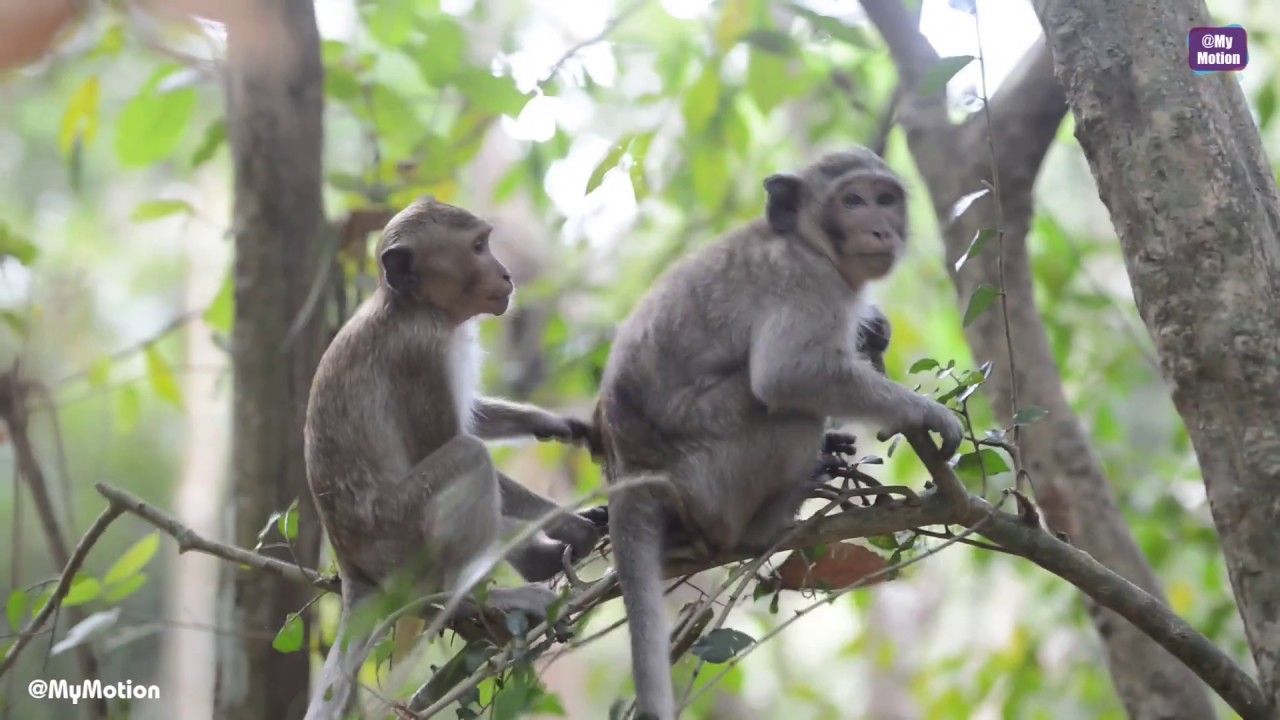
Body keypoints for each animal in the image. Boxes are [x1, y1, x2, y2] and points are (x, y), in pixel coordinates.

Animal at [301, 197, 601, 720]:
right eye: (478, 247)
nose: (505, 273)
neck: (410, 306)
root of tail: (355, 570)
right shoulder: (421, 349)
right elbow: (447, 442)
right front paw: (573, 526)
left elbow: (474, 422)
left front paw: (554, 424)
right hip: (399, 540)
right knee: (470, 460)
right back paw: (467, 600)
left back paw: (534, 565)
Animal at [593, 148, 964, 720]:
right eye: (853, 200)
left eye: (886, 198)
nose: (881, 229)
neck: (804, 242)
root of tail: (630, 469)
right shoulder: (804, 285)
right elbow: (788, 375)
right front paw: (927, 415)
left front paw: (875, 328)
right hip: (710, 475)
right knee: (788, 412)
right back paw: (760, 529)